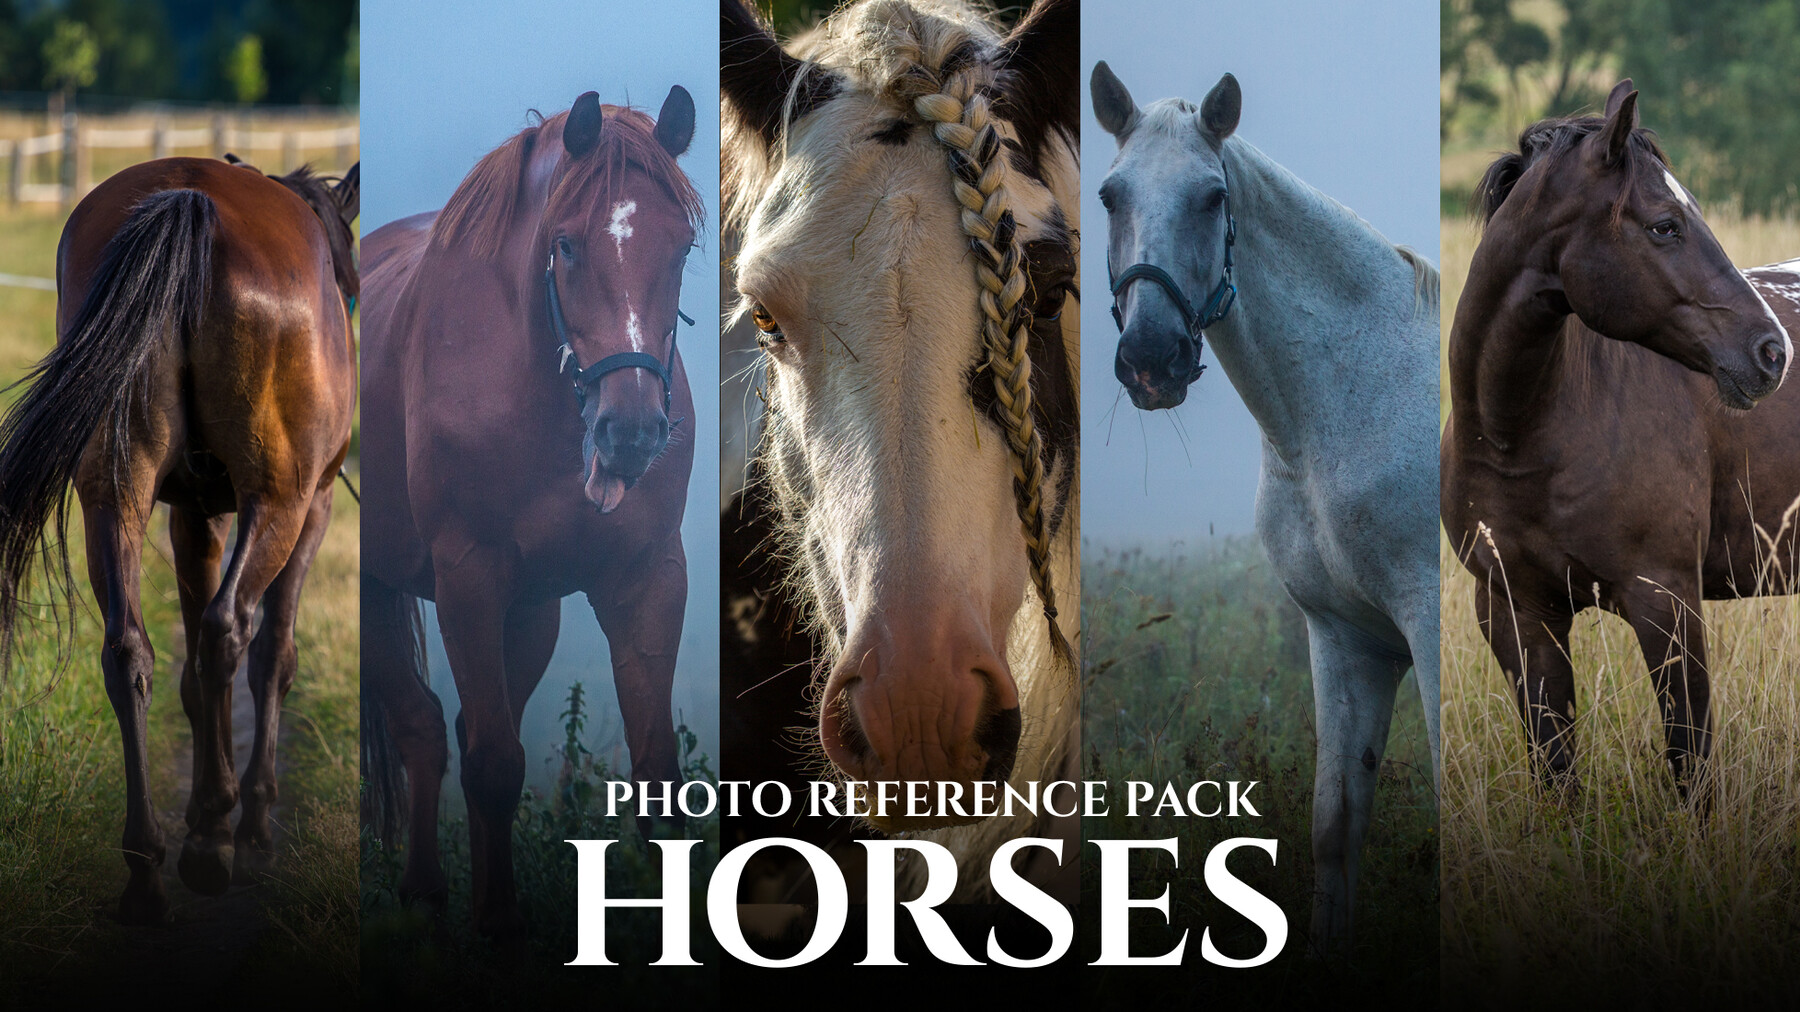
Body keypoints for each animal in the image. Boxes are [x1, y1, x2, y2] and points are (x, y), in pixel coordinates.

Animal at [0, 156, 359, 924]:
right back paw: (213, 841)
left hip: (115, 491)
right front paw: (246, 822)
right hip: (280, 501)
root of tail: (192, 201)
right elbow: (271, 656)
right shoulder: (310, 509)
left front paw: (206, 812)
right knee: (230, 632)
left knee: (129, 651)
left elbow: (193, 677)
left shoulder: (192, 515)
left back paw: (147, 867)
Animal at [358, 89, 700, 939]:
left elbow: (655, 773)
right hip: (381, 584)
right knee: (424, 728)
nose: (633, 431)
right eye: (567, 246)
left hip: (532, 608)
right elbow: (492, 764)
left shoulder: (649, 579)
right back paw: (428, 892)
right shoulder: (468, 578)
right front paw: (500, 924)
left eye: (681, 247)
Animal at [1442, 80, 1795, 809]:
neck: (1519, 439)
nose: (1773, 353)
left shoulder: (1665, 601)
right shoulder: (1517, 613)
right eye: (1664, 224)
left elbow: (1692, 764)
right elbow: (1556, 770)